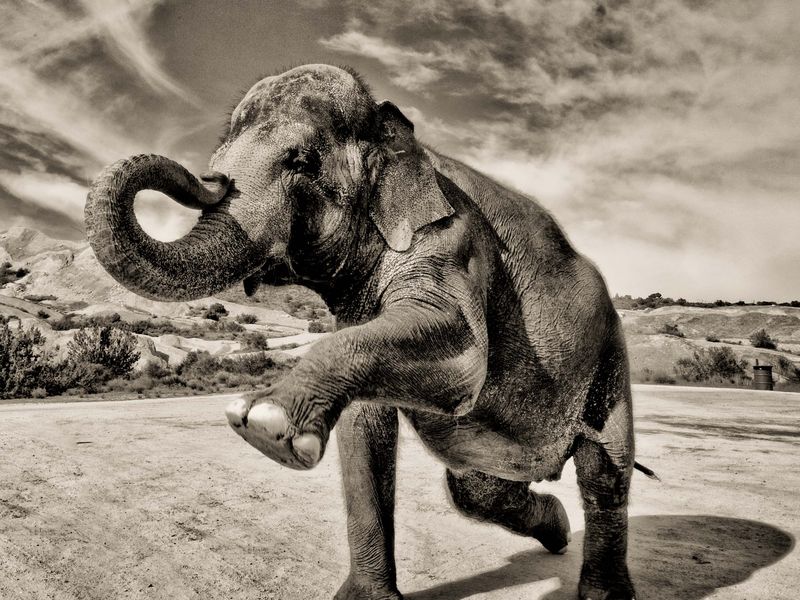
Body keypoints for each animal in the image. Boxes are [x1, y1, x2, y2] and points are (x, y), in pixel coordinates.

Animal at [85, 64, 647, 599]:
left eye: (300, 161)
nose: (211, 177)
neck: (396, 135)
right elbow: (364, 426)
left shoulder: (453, 234)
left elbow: (463, 357)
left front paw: (263, 423)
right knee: (474, 487)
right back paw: (558, 529)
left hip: (609, 355)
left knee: (604, 470)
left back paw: (602, 590)